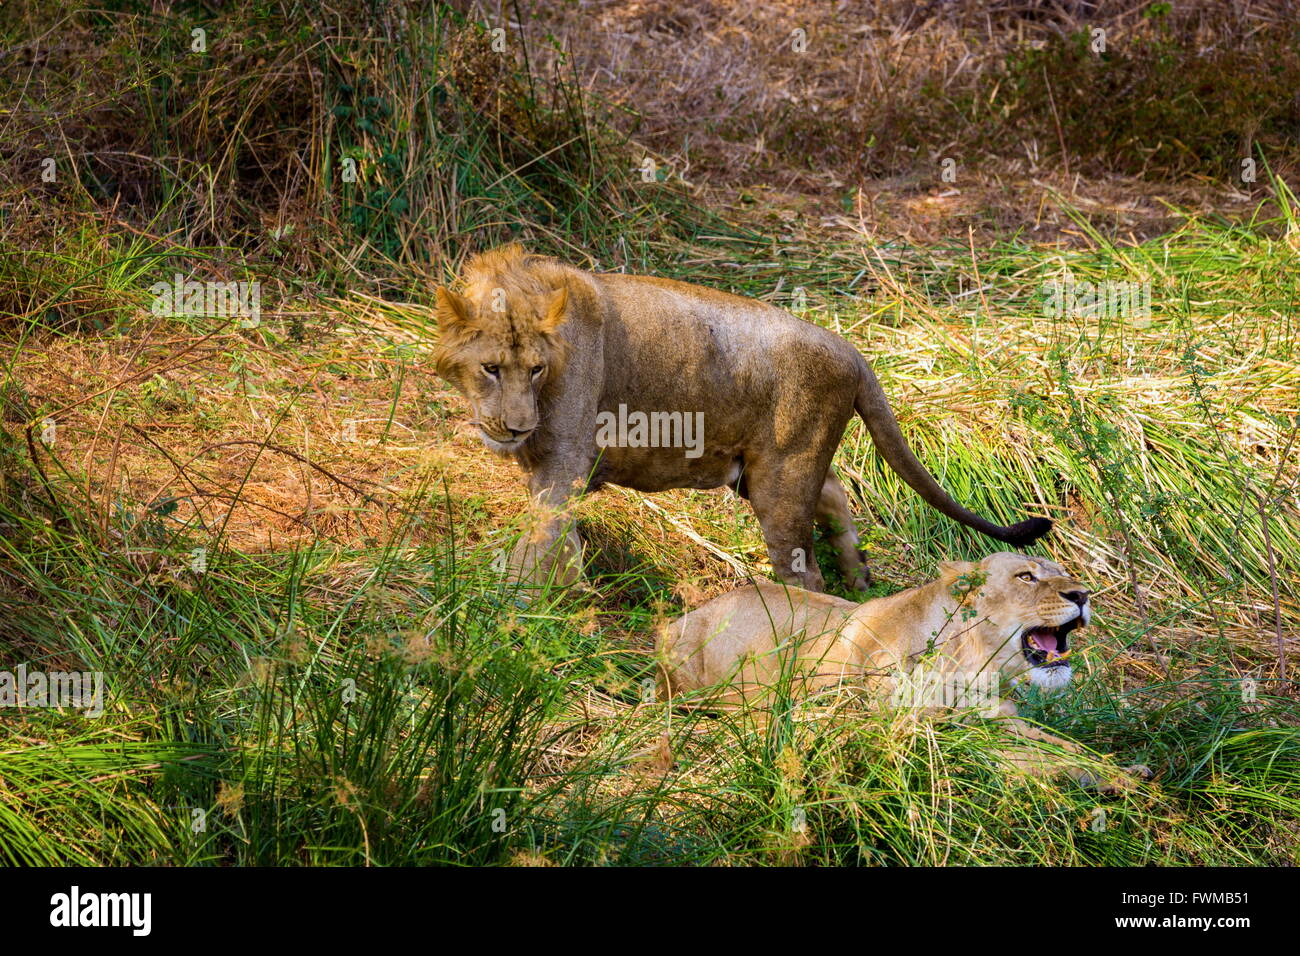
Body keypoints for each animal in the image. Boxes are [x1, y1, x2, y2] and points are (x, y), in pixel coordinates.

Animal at [433, 244, 1050, 591]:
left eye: (535, 369)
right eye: (491, 368)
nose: (515, 426)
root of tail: (852, 351)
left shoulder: (565, 464)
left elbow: (540, 542)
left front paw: (522, 609)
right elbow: (552, 542)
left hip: (783, 477)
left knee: (805, 571)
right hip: (767, 470)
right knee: (835, 496)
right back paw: (861, 580)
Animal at [656, 552, 1151, 790]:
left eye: (1064, 572)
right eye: (1026, 577)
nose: (1083, 594)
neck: (978, 666)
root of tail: (677, 621)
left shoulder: (1000, 720)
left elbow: (1065, 746)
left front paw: (1124, 770)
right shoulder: (923, 739)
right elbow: (1028, 759)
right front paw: (1126, 785)